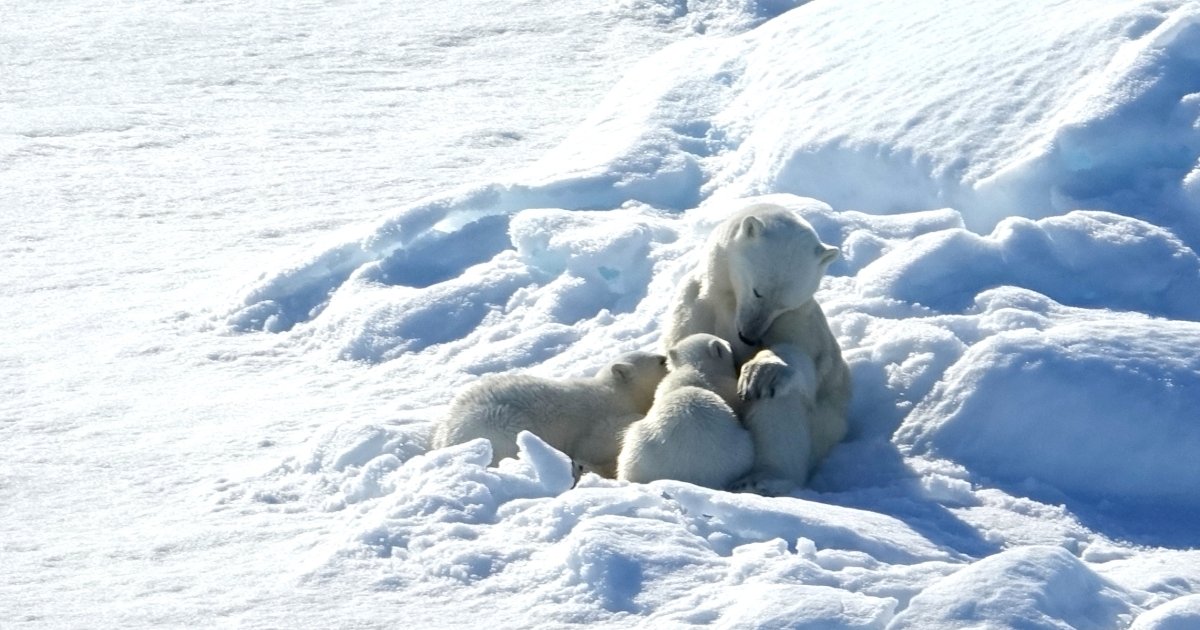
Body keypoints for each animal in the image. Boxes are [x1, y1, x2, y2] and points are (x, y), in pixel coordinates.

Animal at [431, 350, 668, 478]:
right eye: (660, 361)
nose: (666, 356)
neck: (617, 393)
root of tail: (446, 440)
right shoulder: (598, 419)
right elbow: (602, 439)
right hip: (500, 424)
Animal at [662, 200, 851, 492]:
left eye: (784, 303)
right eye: (757, 291)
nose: (749, 337)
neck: (729, 302)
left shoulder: (800, 318)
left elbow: (806, 362)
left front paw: (762, 371)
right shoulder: (695, 302)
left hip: (825, 426)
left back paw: (763, 478)